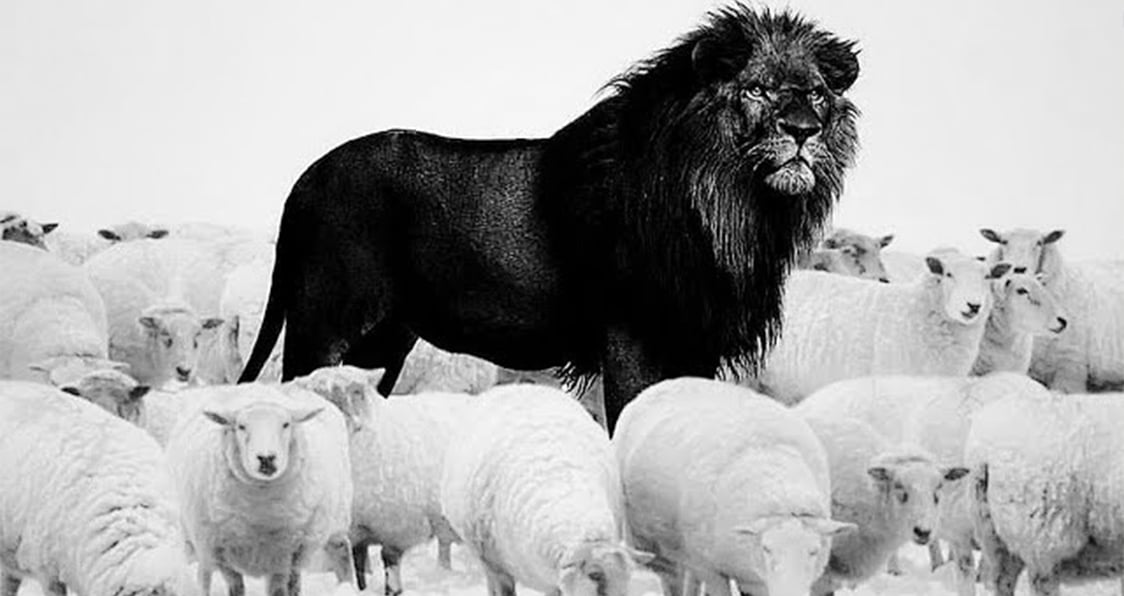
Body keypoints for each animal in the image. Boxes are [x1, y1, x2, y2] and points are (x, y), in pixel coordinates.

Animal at [165, 383, 356, 596]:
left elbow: (278, 590)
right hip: (194, 538)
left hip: (335, 523)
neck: (260, 511)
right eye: (241, 426)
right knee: (203, 572)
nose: (266, 458)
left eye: (286, 424)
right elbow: (236, 588)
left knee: (340, 551)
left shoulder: (283, 557)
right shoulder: (221, 553)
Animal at [240, 6, 861, 432]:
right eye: (756, 89)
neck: (735, 208)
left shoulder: (695, 347)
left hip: (384, 341)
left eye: (817, 94)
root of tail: (306, 178)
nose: (803, 130)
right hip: (323, 327)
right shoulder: (632, 340)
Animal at [291, 365, 471, 593]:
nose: (348, 421)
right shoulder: (354, 530)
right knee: (445, 544)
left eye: (357, 392)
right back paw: (443, 570)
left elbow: (389, 562)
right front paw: (361, 588)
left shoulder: (396, 528)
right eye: (321, 396)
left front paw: (393, 590)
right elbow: (358, 565)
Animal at [614, 377, 855, 596]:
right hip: (650, 541)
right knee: (670, 578)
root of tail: (664, 383)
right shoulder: (710, 568)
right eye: (767, 549)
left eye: (813, 551)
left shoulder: (753, 579)